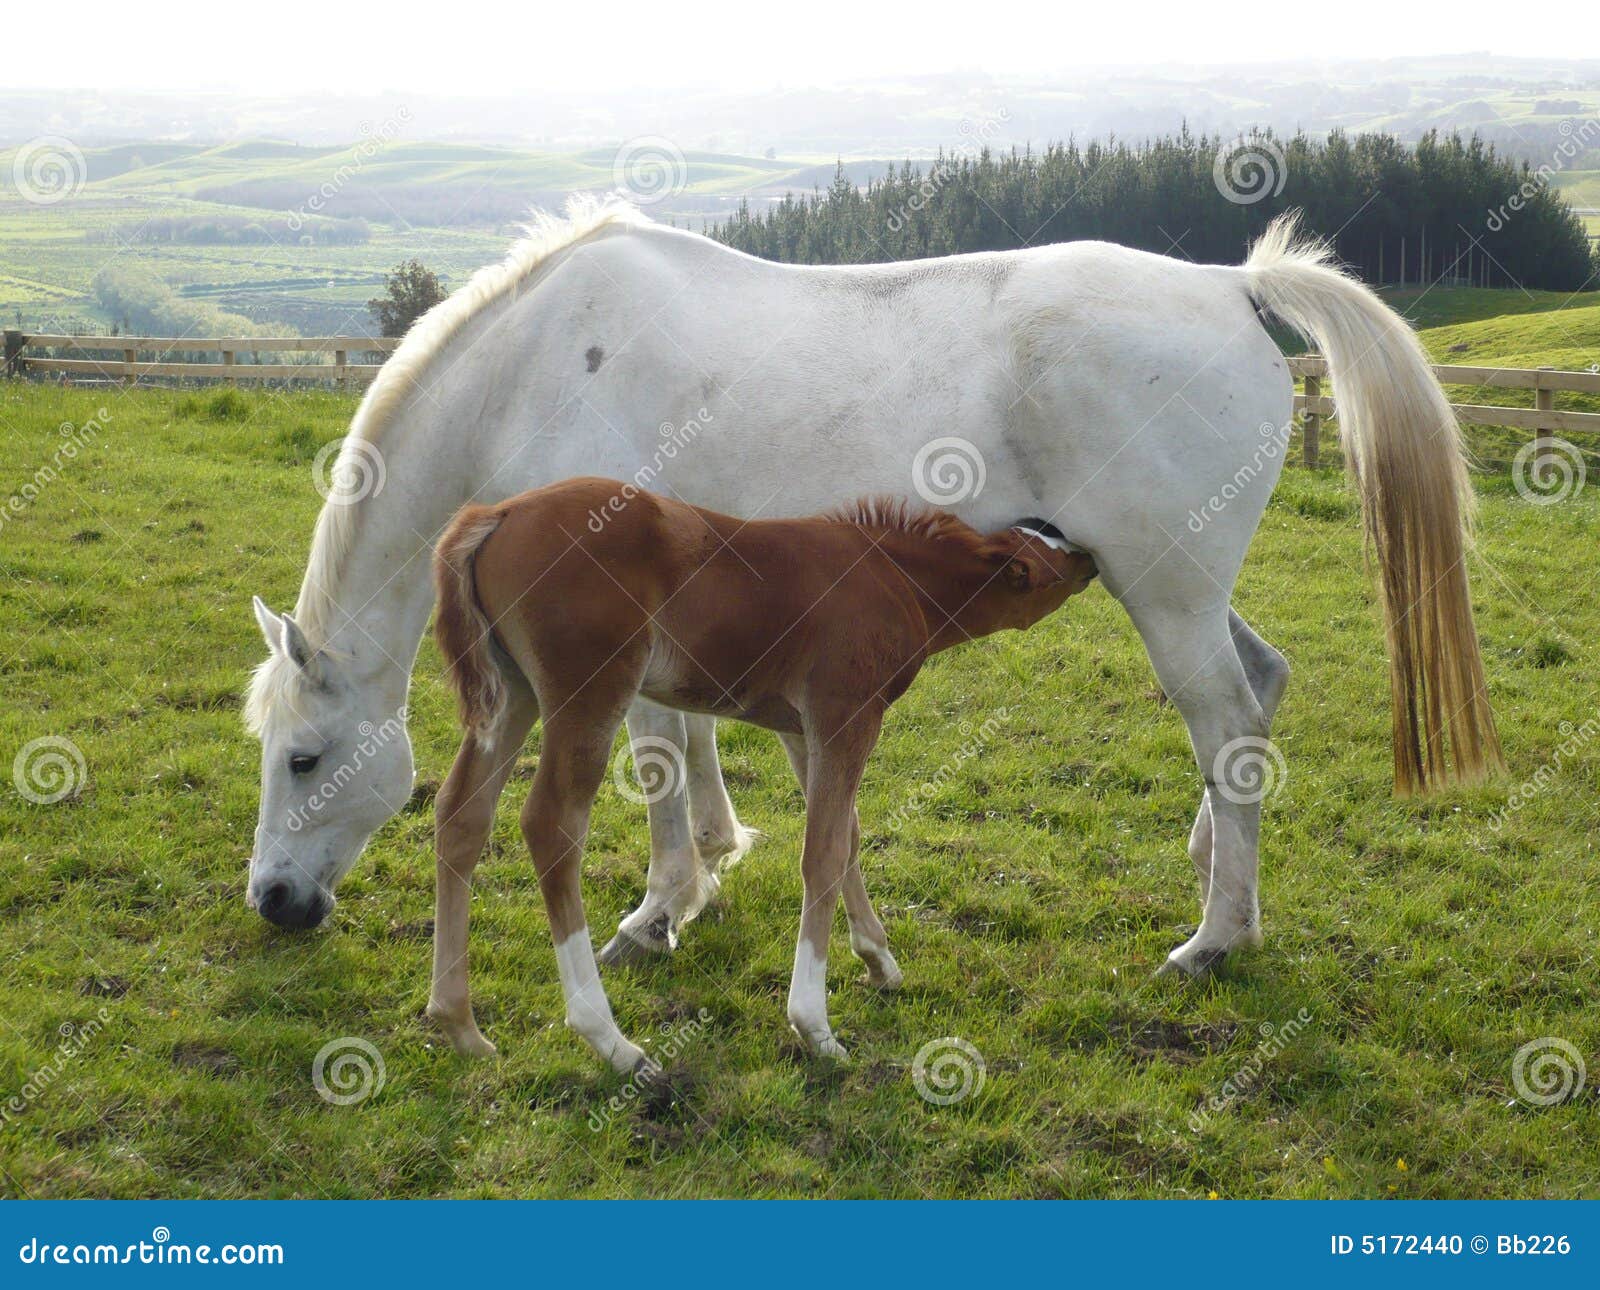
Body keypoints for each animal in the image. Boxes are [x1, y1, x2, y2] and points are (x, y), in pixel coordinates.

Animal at [245, 199, 1501, 981]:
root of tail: (1231, 287)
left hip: (1165, 588)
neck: (535, 369)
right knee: (1262, 684)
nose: (272, 902)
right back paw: (1210, 869)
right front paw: (712, 862)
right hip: (1174, 579)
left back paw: (1217, 938)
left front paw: (655, 912)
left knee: (1228, 720)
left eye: (304, 759)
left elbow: (651, 762)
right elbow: (691, 741)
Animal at [426, 478, 1099, 1067]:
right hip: (587, 692)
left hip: (512, 695)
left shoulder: (803, 728)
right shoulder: (845, 714)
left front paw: (878, 960)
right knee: (552, 826)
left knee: (461, 816)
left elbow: (848, 835)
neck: (893, 578)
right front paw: (815, 1025)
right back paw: (609, 1040)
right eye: (1051, 563)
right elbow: (822, 852)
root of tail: (495, 514)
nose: (1088, 554)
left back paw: (458, 1023)